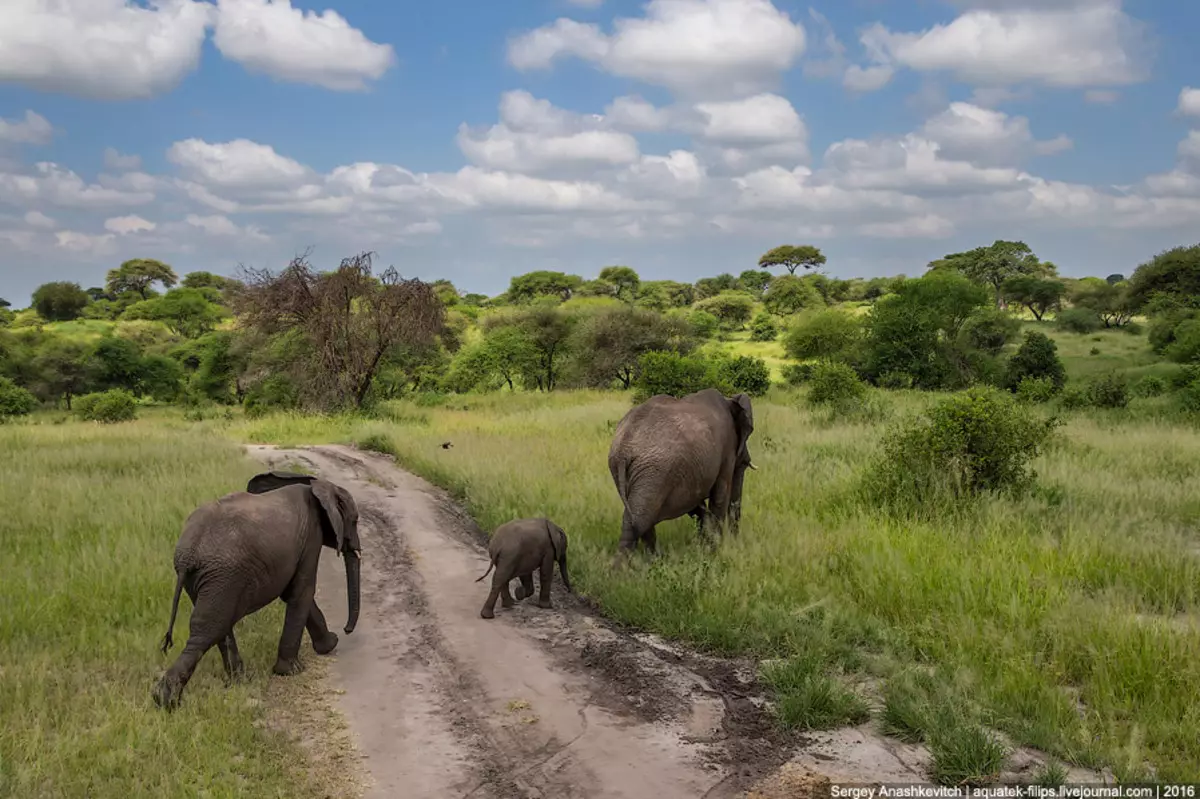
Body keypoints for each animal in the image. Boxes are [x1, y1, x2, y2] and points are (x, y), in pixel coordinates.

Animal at [149, 470, 357, 705]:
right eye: (355, 520)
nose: (346, 630)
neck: (316, 485)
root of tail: (187, 554)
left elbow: (292, 593)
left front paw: (329, 644)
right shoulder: (312, 536)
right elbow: (302, 591)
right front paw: (292, 670)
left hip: (207, 579)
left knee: (217, 625)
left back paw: (237, 681)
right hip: (224, 574)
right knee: (207, 631)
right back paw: (167, 701)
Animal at [604, 386, 753, 554]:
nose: (735, 543)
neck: (729, 400)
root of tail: (624, 447)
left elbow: (696, 502)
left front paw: (704, 545)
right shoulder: (727, 449)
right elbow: (720, 495)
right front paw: (714, 550)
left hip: (630, 470)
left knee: (639, 515)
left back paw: (654, 559)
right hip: (656, 470)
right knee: (639, 519)